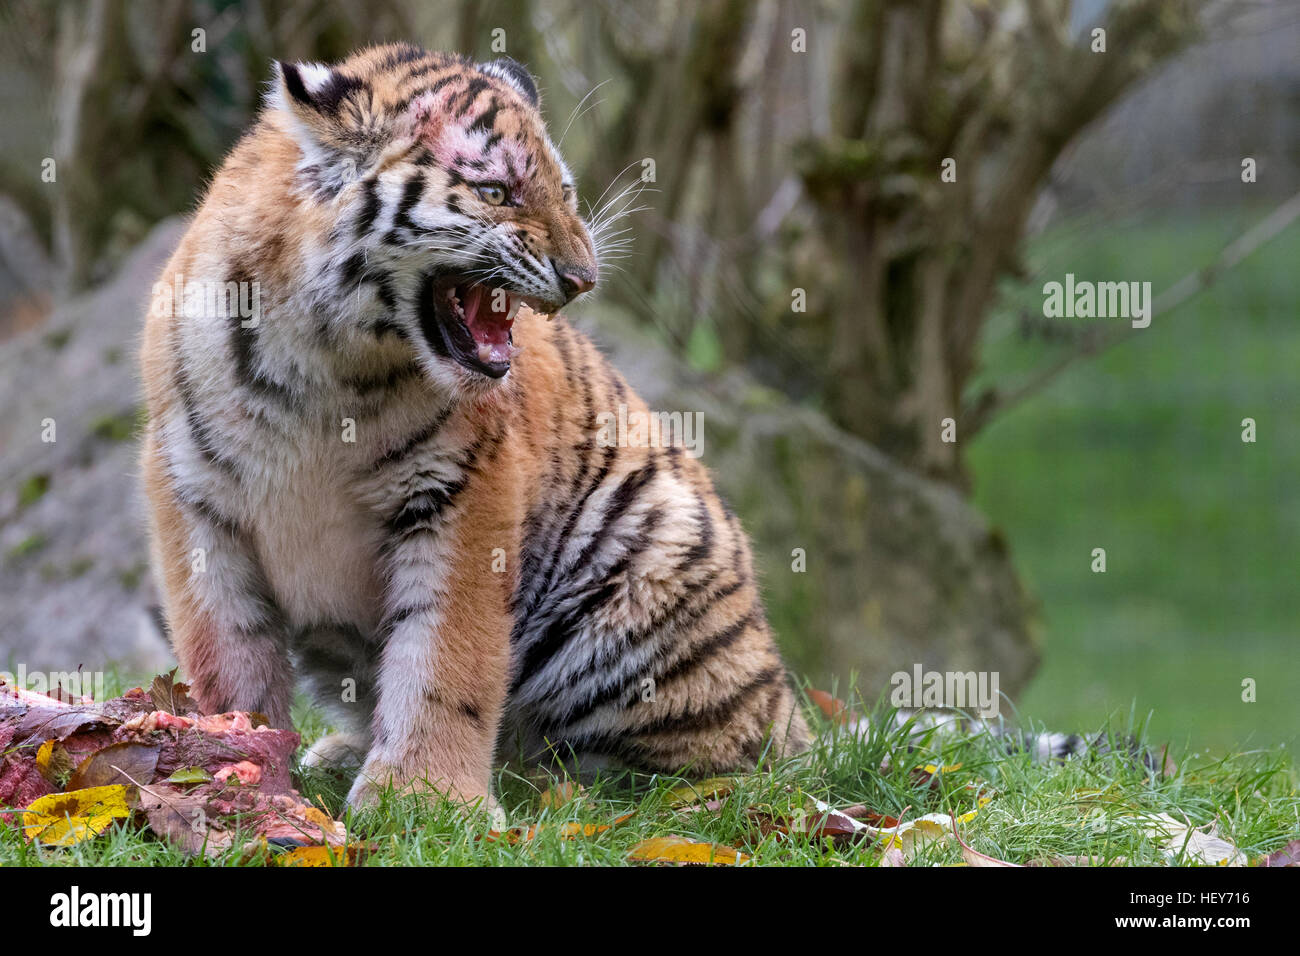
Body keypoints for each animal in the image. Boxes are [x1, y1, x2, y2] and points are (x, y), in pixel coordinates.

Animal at [139, 43, 810, 811]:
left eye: (565, 192)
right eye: (496, 192)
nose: (584, 277)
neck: (327, 360)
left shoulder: (461, 491)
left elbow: (444, 658)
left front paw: (421, 797)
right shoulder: (193, 492)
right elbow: (226, 653)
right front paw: (238, 762)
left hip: (645, 570)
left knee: (704, 762)